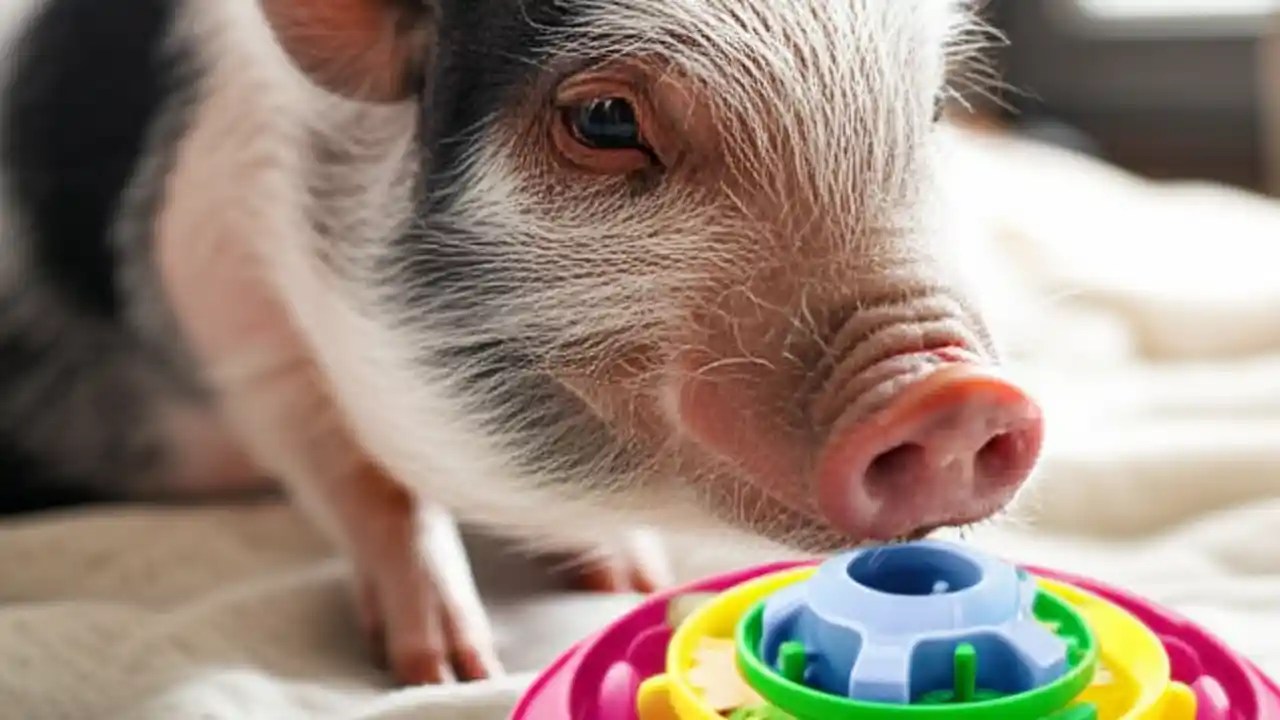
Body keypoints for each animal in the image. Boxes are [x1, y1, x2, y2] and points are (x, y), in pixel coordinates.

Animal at [0, 0, 1044, 685]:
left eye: (935, 107)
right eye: (605, 119)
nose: (951, 394)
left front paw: (626, 584)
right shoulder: (226, 284)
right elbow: (362, 472)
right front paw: (449, 673)